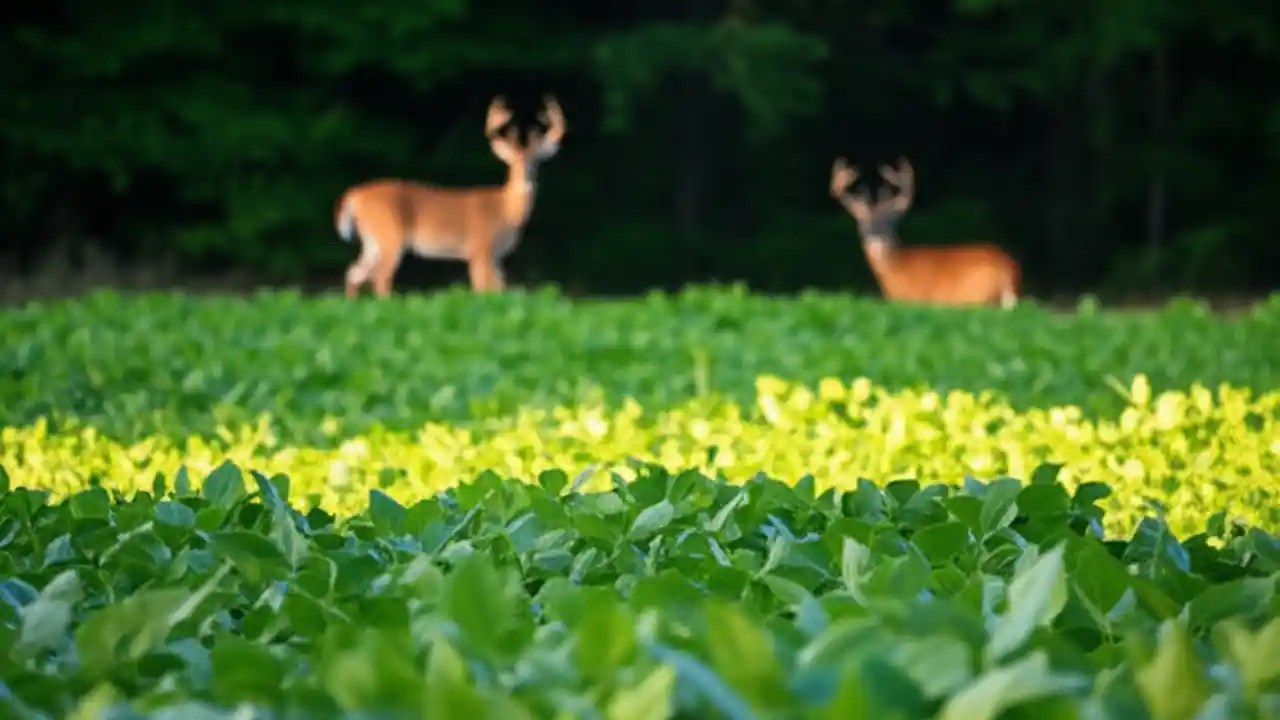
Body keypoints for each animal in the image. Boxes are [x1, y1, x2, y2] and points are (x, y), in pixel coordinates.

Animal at [333, 95, 566, 297]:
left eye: (536, 162)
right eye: (512, 162)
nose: (526, 179)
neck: (506, 210)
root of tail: (355, 196)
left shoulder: (496, 257)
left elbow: (500, 290)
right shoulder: (479, 248)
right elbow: (482, 290)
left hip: (370, 240)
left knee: (354, 273)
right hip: (389, 234)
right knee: (380, 277)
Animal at [829, 156, 1021, 308]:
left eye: (891, 222)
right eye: (862, 224)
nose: (876, 238)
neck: (896, 271)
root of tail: (1007, 271)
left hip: (976, 293)